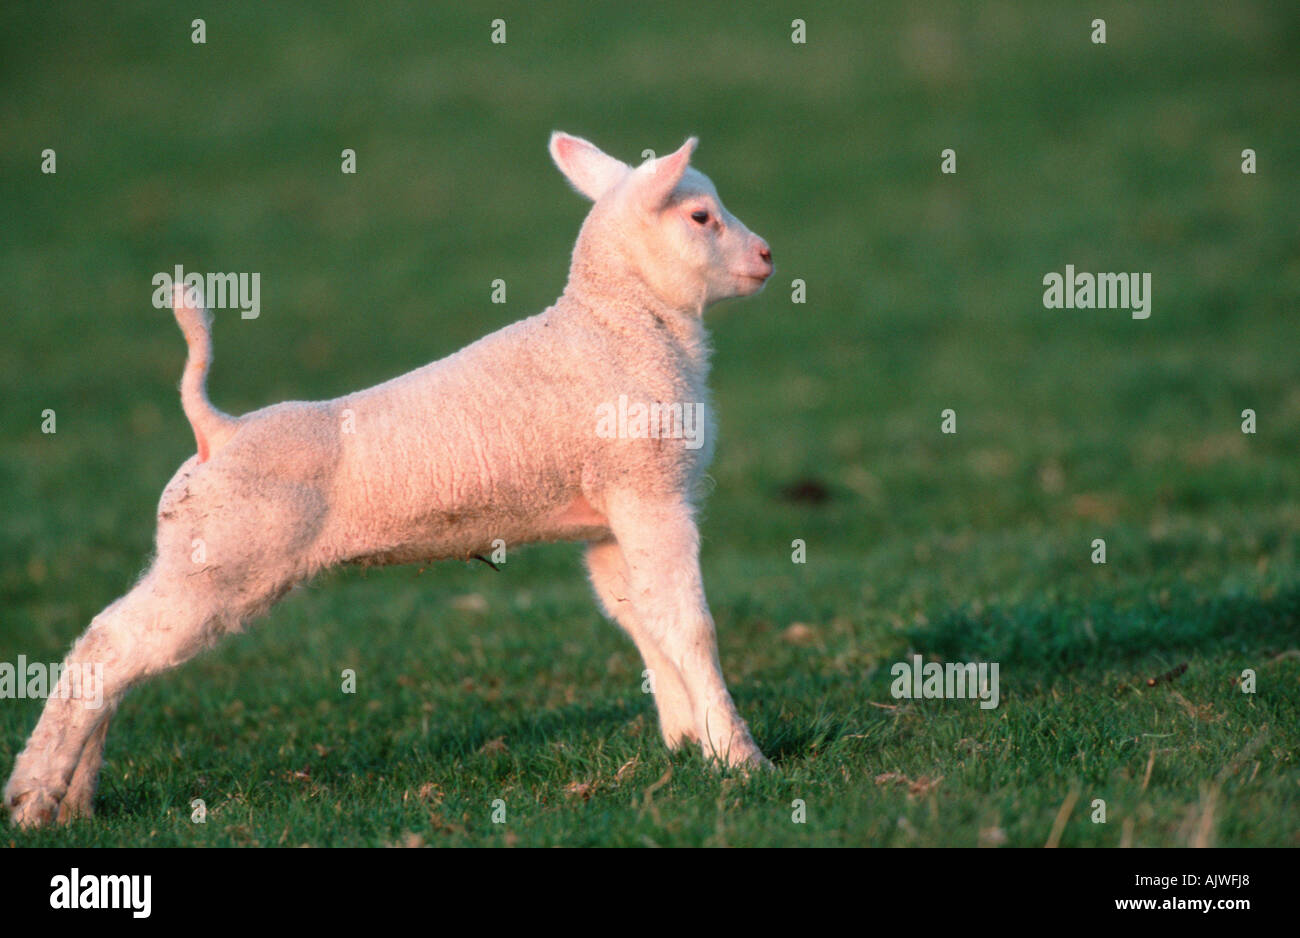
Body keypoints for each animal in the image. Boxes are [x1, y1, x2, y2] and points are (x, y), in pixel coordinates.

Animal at [5, 132, 775, 828]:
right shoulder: (651, 491)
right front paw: (740, 759)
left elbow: (642, 621)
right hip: (218, 561)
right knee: (106, 645)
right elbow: (689, 624)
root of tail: (214, 428)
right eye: (701, 216)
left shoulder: (613, 513)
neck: (623, 325)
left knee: (113, 660)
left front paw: (686, 745)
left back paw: (71, 803)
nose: (768, 256)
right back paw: (33, 799)